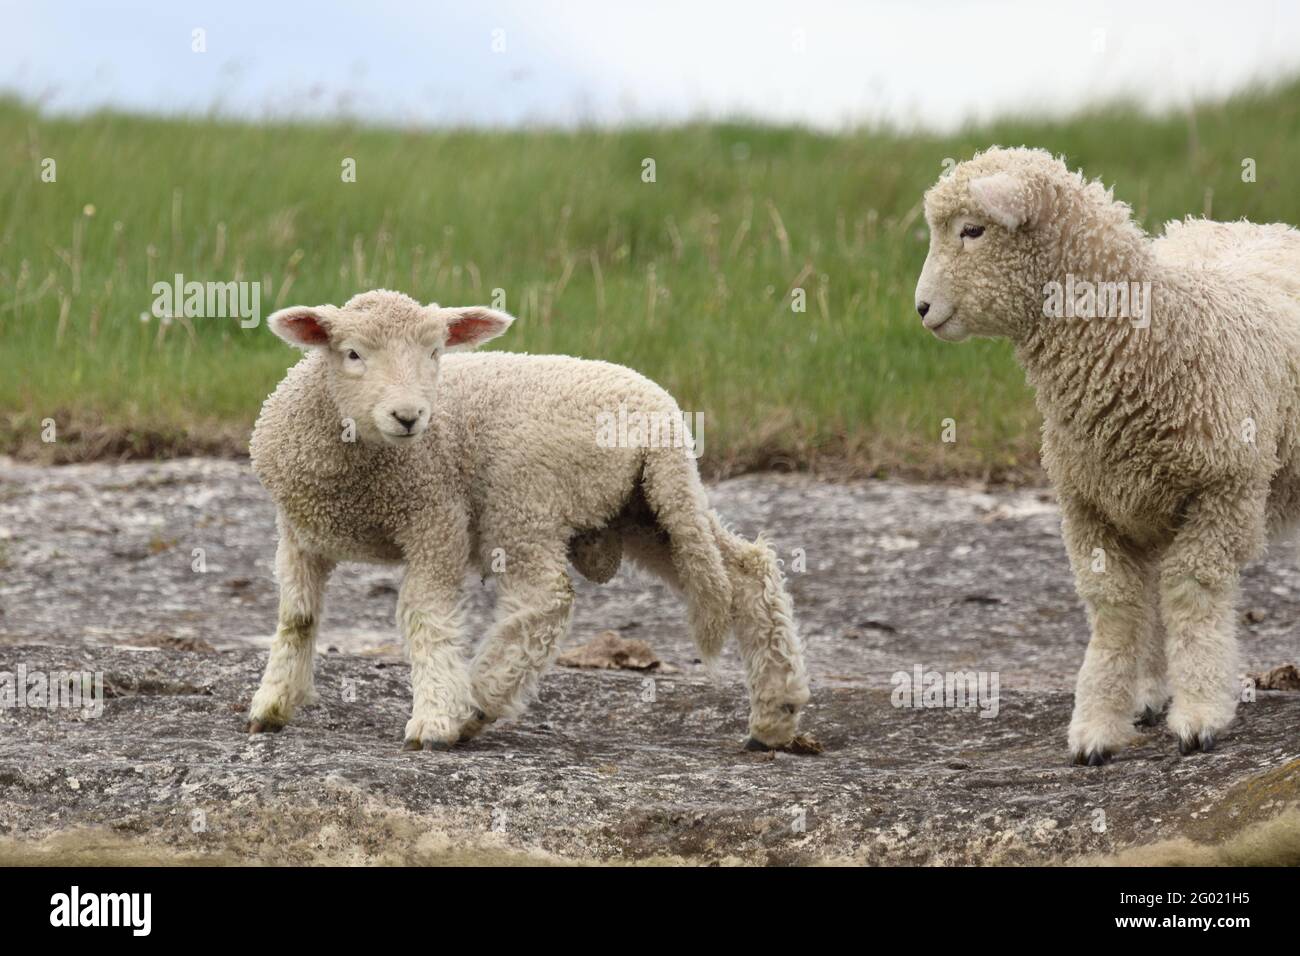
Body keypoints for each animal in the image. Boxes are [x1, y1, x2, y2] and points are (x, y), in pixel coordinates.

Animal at [245, 289, 810, 751]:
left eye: (436, 353)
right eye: (353, 354)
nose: (408, 417)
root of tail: (660, 417)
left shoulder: (436, 517)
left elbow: (424, 615)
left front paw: (433, 720)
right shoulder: (298, 532)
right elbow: (298, 617)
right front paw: (273, 703)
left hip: (526, 497)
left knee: (545, 599)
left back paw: (475, 703)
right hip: (653, 507)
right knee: (746, 570)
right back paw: (776, 715)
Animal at [914, 147, 1300, 765]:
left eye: (972, 230)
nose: (922, 308)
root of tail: (1253, 224)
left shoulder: (1224, 493)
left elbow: (1191, 592)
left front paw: (1200, 713)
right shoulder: (1090, 506)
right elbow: (1117, 608)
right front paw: (1098, 723)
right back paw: (1150, 692)